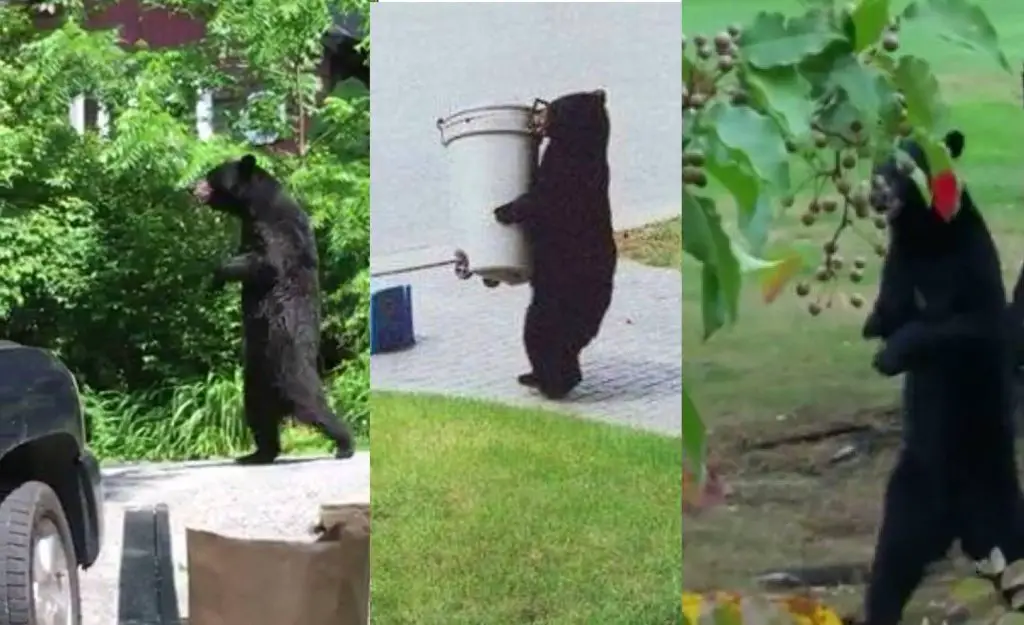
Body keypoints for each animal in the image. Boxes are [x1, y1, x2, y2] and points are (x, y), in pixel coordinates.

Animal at [190, 154, 355, 464]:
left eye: (211, 174)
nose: (192, 187)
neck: (255, 208)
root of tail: (280, 401)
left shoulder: (279, 232)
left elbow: (264, 263)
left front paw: (217, 274)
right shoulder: (248, 229)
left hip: (290, 366)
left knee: (312, 405)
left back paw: (344, 444)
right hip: (255, 381)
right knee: (259, 417)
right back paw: (256, 454)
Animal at [493, 89, 617, 400]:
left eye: (555, 104)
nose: (538, 112)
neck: (579, 146)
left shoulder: (567, 179)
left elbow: (537, 200)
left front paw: (502, 210)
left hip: (554, 305)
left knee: (541, 337)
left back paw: (546, 383)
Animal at [859, 130, 1024, 625]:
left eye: (904, 165)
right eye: (878, 162)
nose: (876, 191)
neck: (925, 236)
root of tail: (954, 524)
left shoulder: (969, 264)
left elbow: (965, 325)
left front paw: (893, 353)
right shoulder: (900, 261)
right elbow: (885, 313)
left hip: (996, 505)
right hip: (907, 501)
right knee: (890, 569)